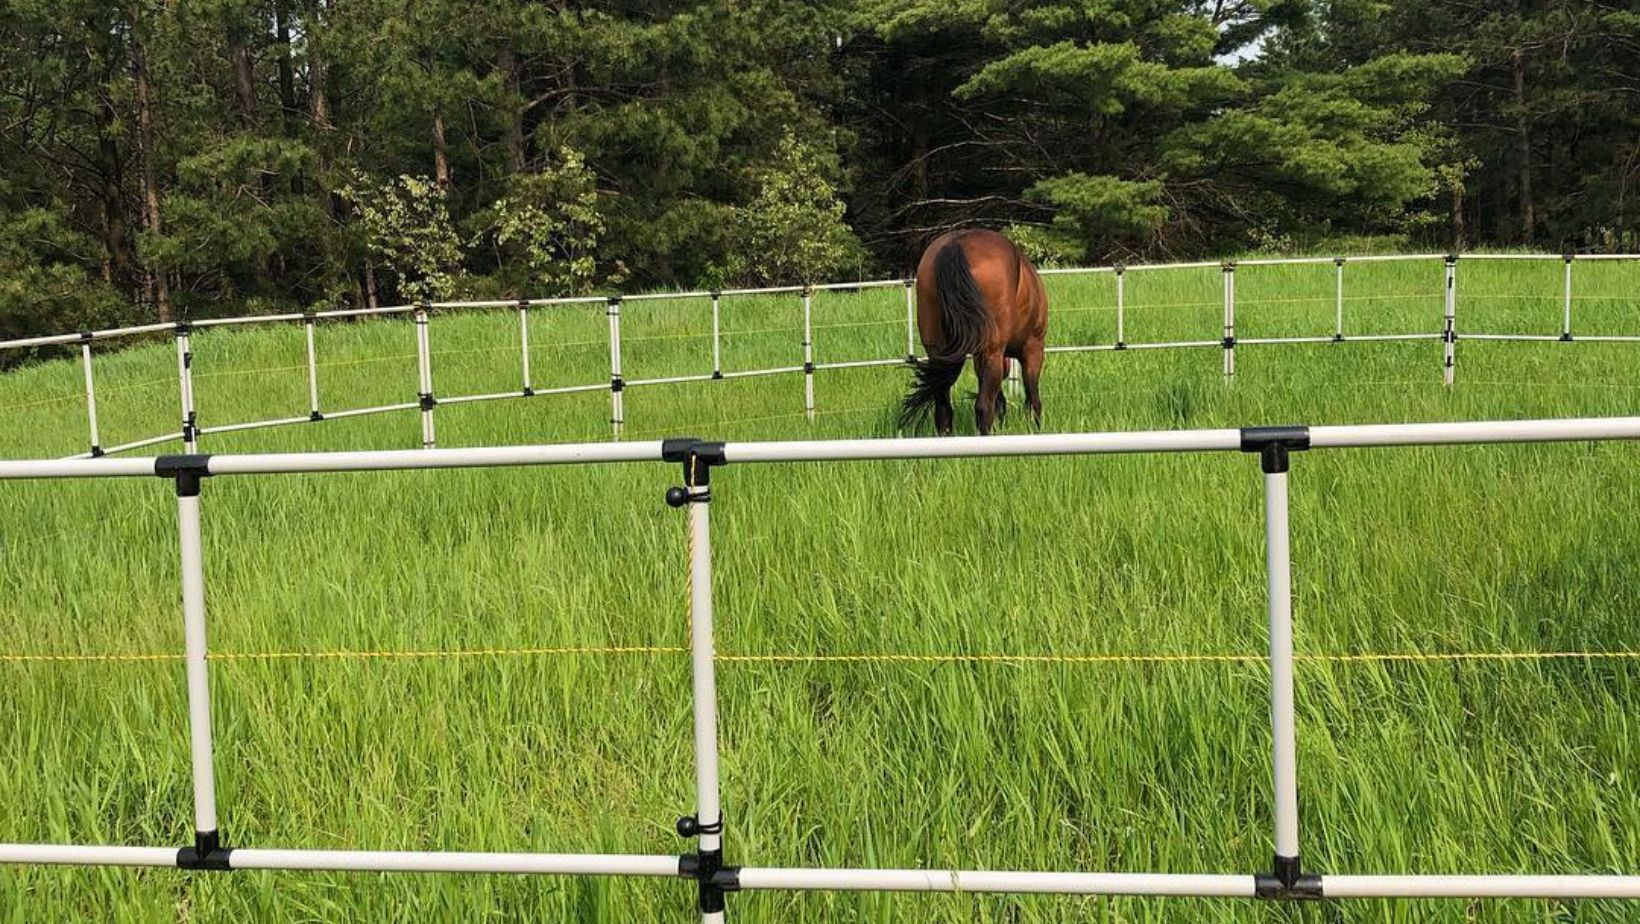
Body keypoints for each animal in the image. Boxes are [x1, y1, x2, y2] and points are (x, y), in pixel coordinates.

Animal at [900, 229, 1048, 436]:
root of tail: (956, 244)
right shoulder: (1033, 349)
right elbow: (1033, 399)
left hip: (939, 351)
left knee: (943, 407)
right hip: (992, 351)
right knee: (983, 406)